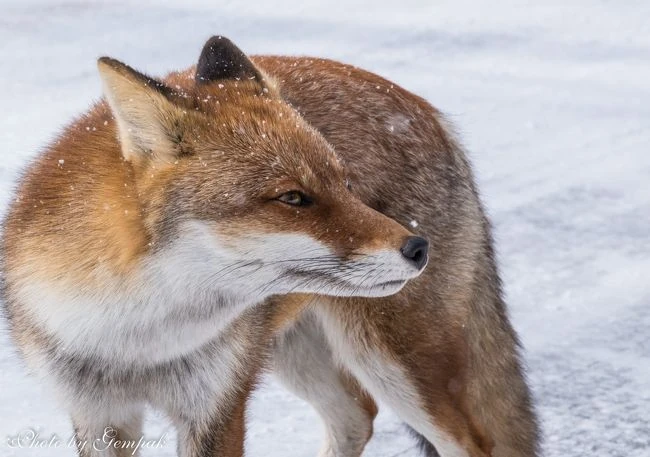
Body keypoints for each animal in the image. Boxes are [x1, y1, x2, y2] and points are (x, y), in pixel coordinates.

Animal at [0, 36, 539, 457]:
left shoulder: (217, 407)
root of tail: (427, 107)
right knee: (356, 417)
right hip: (292, 353)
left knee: (469, 442)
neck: (137, 341)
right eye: (293, 198)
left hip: (393, 366)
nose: (418, 249)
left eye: (345, 185)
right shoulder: (97, 414)